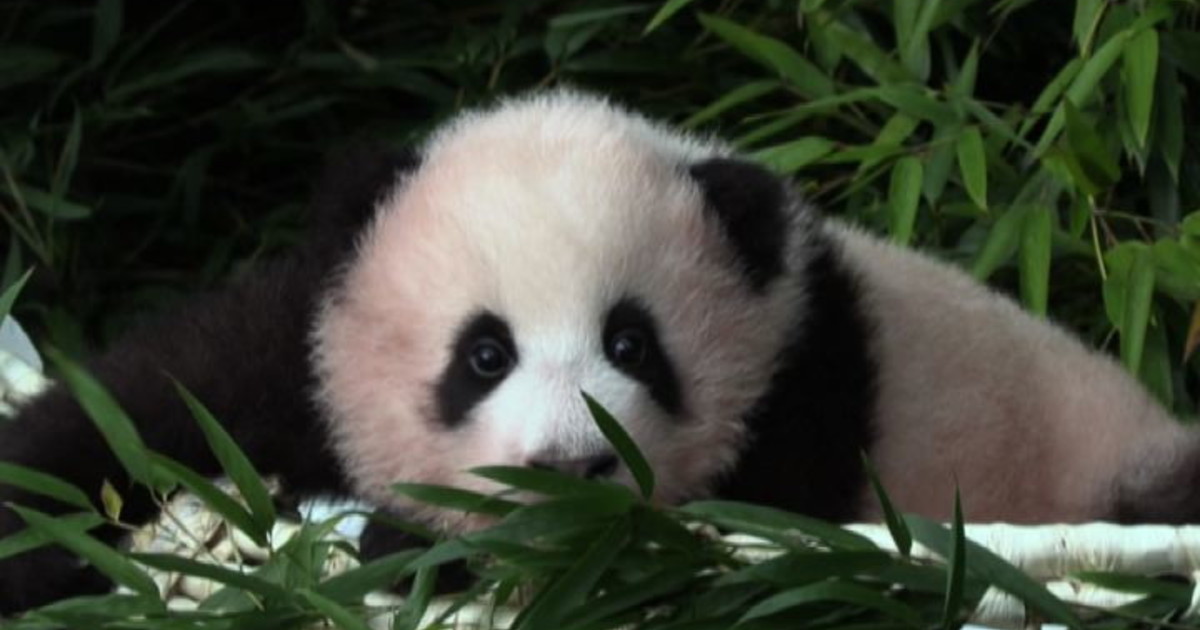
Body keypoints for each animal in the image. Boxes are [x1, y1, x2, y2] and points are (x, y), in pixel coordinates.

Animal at [1, 89, 1197, 614]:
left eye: (634, 342)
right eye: (483, 355)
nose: (570, 469)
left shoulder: (800, 386)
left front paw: (413, 545)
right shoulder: (304, 337)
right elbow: (136, 412)